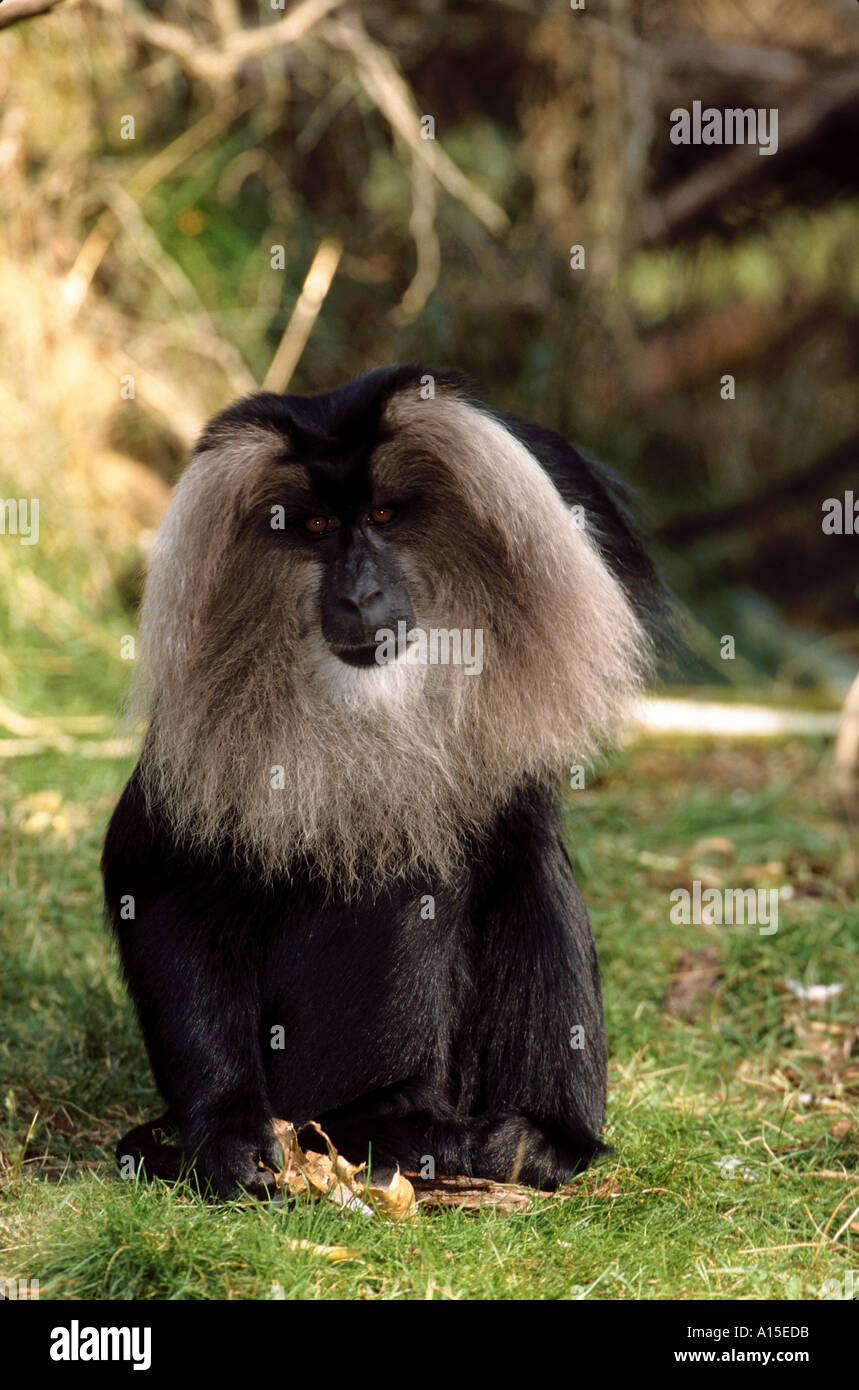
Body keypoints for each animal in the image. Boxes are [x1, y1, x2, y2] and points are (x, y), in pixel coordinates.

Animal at [103, 365, 665, 1200]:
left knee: (516, 852)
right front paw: (226, 1137)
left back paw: (518, 1141)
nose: (359, 595)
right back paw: (388, 1123)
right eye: (311, 528)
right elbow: (160, 875)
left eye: (382, 515)